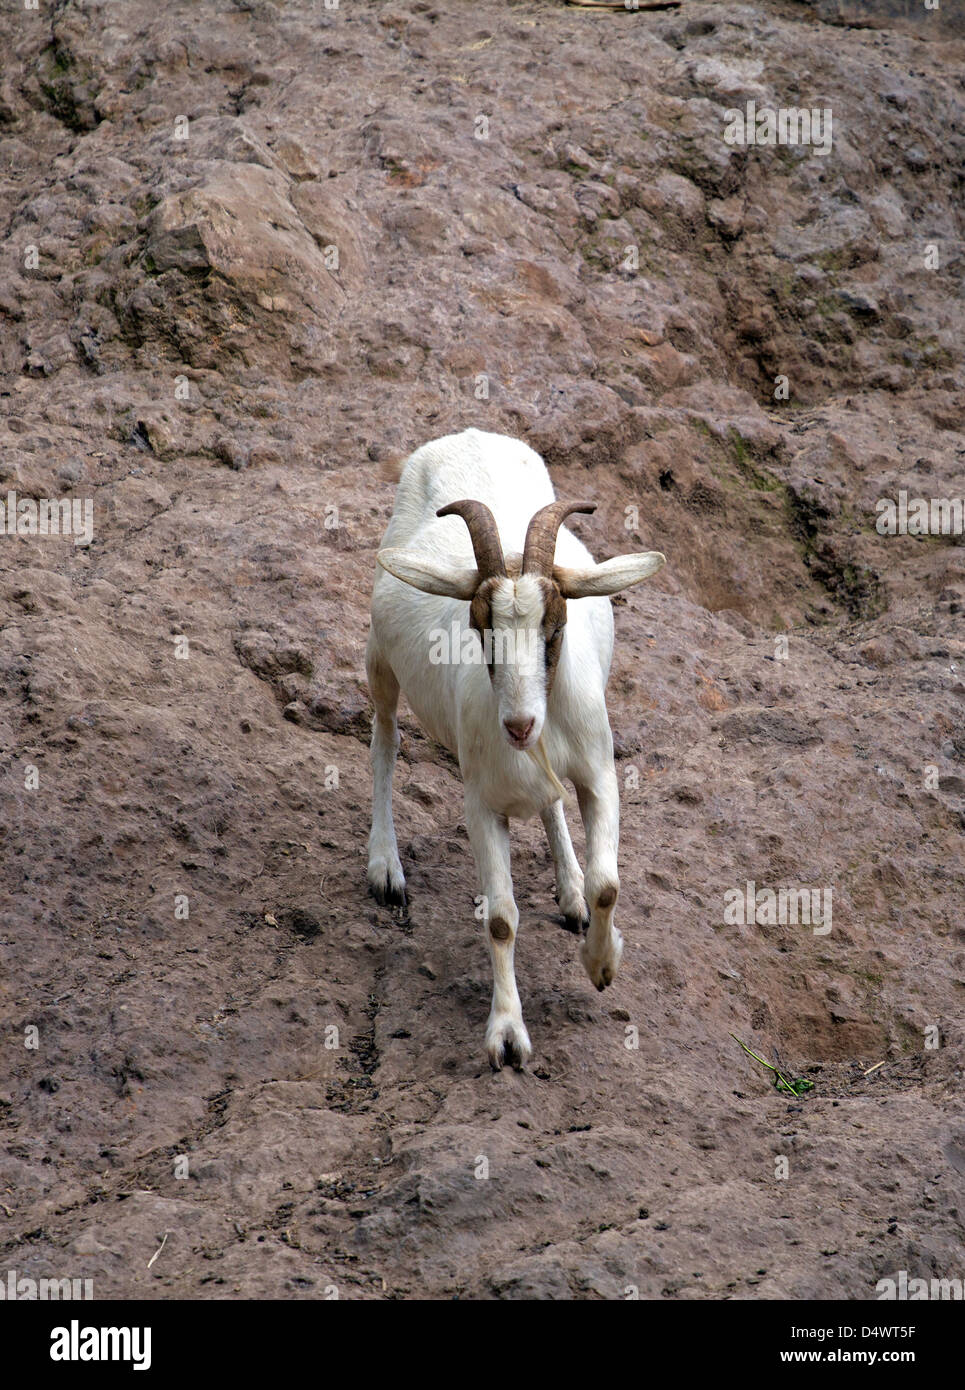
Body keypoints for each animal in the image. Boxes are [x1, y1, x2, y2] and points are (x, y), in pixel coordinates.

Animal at [366, 428, 665, 1069]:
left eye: (555, 627)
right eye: (482, 628)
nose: (521, 725)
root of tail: (467, 434)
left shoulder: (599, 775)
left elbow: (608, 883)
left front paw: (601, 962)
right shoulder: (480, 804)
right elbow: (501, 919)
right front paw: (506, 1034)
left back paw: (570, 892)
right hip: (378, 656)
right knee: (384, 739)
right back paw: (384, 865)